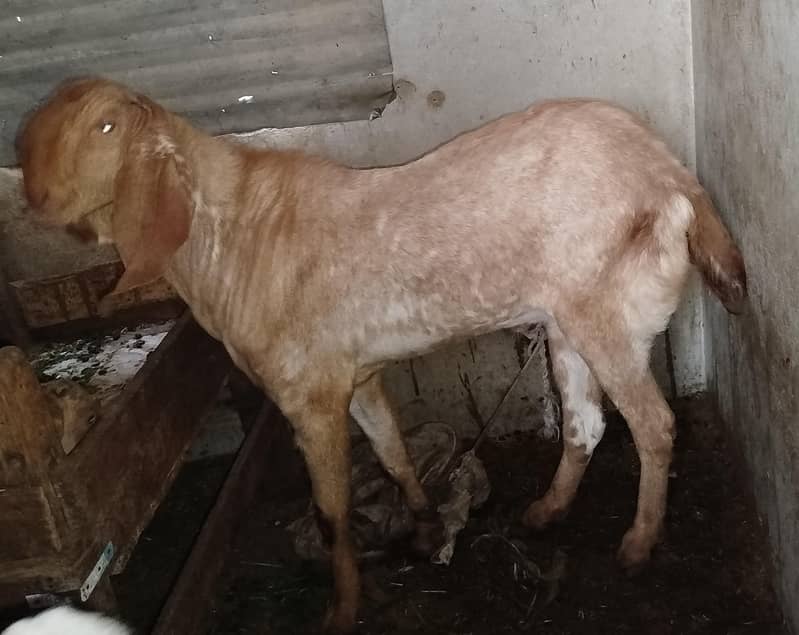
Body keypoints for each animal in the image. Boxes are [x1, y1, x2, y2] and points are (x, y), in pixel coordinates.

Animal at [17, 77, 747, 633]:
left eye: (105, 127)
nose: (34, 198)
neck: (229, 239)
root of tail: (672, 176)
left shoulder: (307, 395)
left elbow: (332, 509)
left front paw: (341, 609)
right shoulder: (357, 373)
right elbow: (394, 452)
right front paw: (422, 527)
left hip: (609, 315)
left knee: (653, 423)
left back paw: (638, 543)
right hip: (568, 322)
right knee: (584, 424)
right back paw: (545, 510)